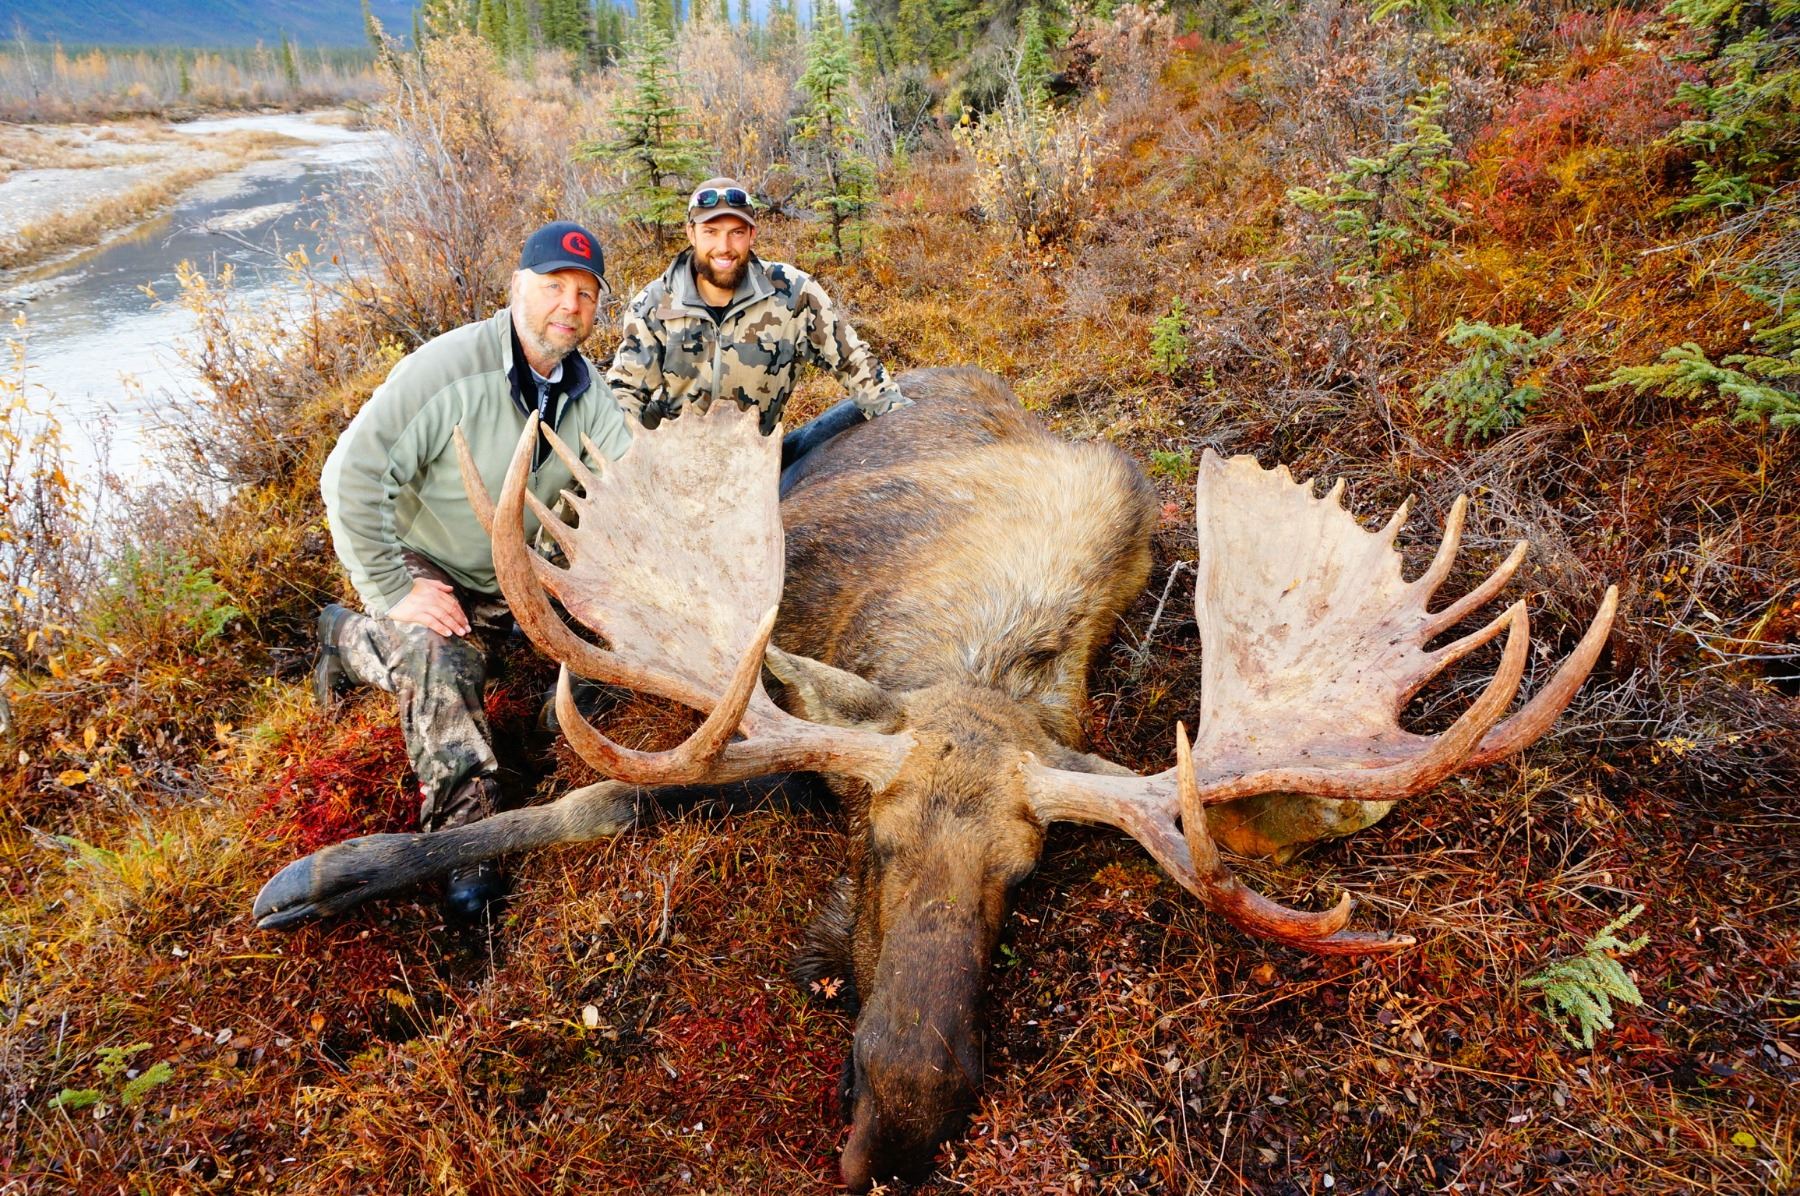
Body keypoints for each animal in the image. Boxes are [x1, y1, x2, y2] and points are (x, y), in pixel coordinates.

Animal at [253, 367, 1616, 1190]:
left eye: (1027, 876)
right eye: (874, 835)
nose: (900, 1121)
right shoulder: (759, 714)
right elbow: (597, 794)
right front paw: (322, 875)